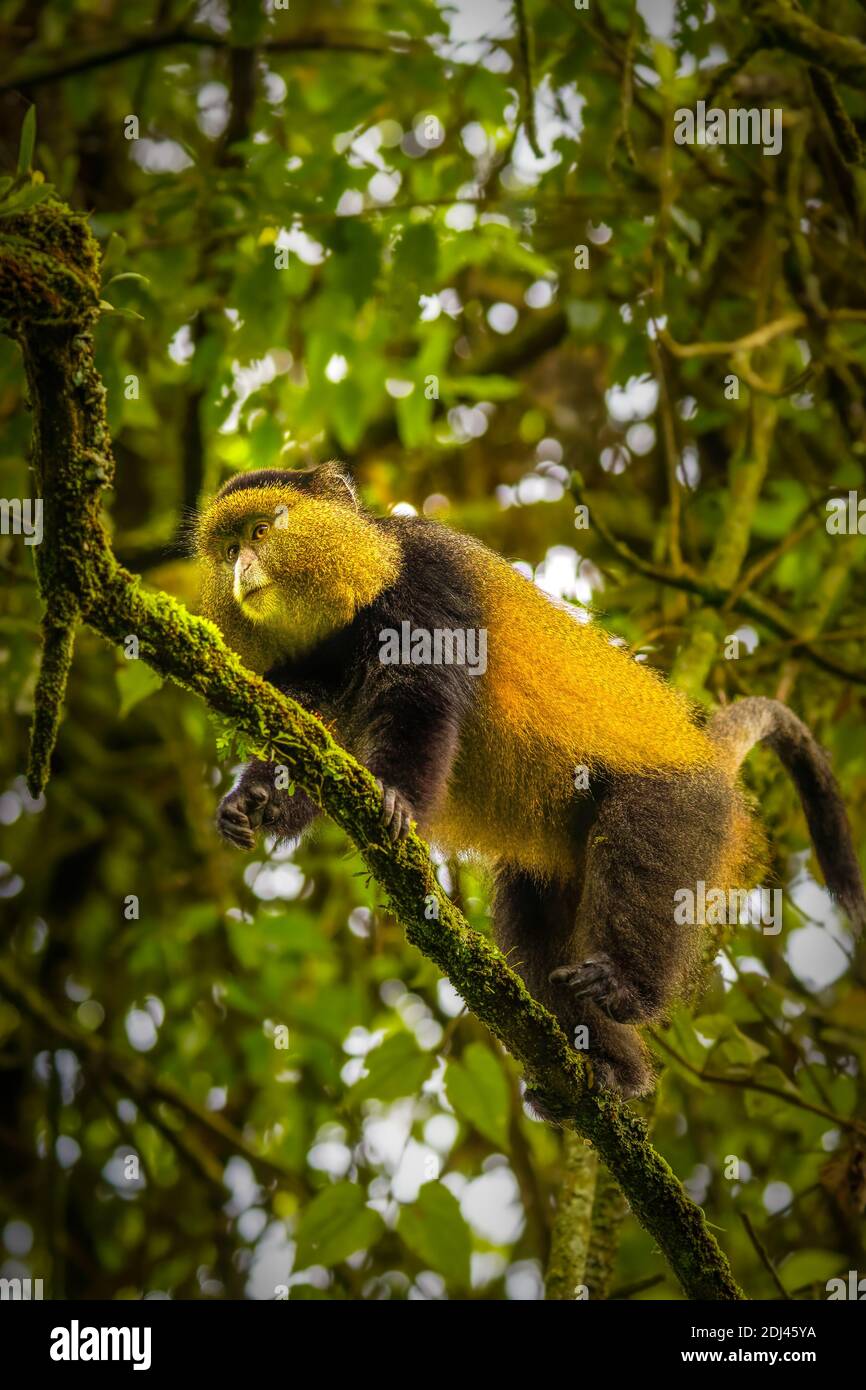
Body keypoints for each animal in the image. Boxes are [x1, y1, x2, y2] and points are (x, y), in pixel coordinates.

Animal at [196, 462, 866, 1097]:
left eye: (261, 532)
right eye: (228, 549)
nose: (242, 570)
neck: (358, 589)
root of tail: (704, 750)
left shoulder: (428, 578)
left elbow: (420, 698)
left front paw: (397, 799)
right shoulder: (313, 661)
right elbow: (311, 733)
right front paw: (254, 799)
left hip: (679, 802)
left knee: (642, 855)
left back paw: (625, 988)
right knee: (535, 925)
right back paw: (613, 1068)